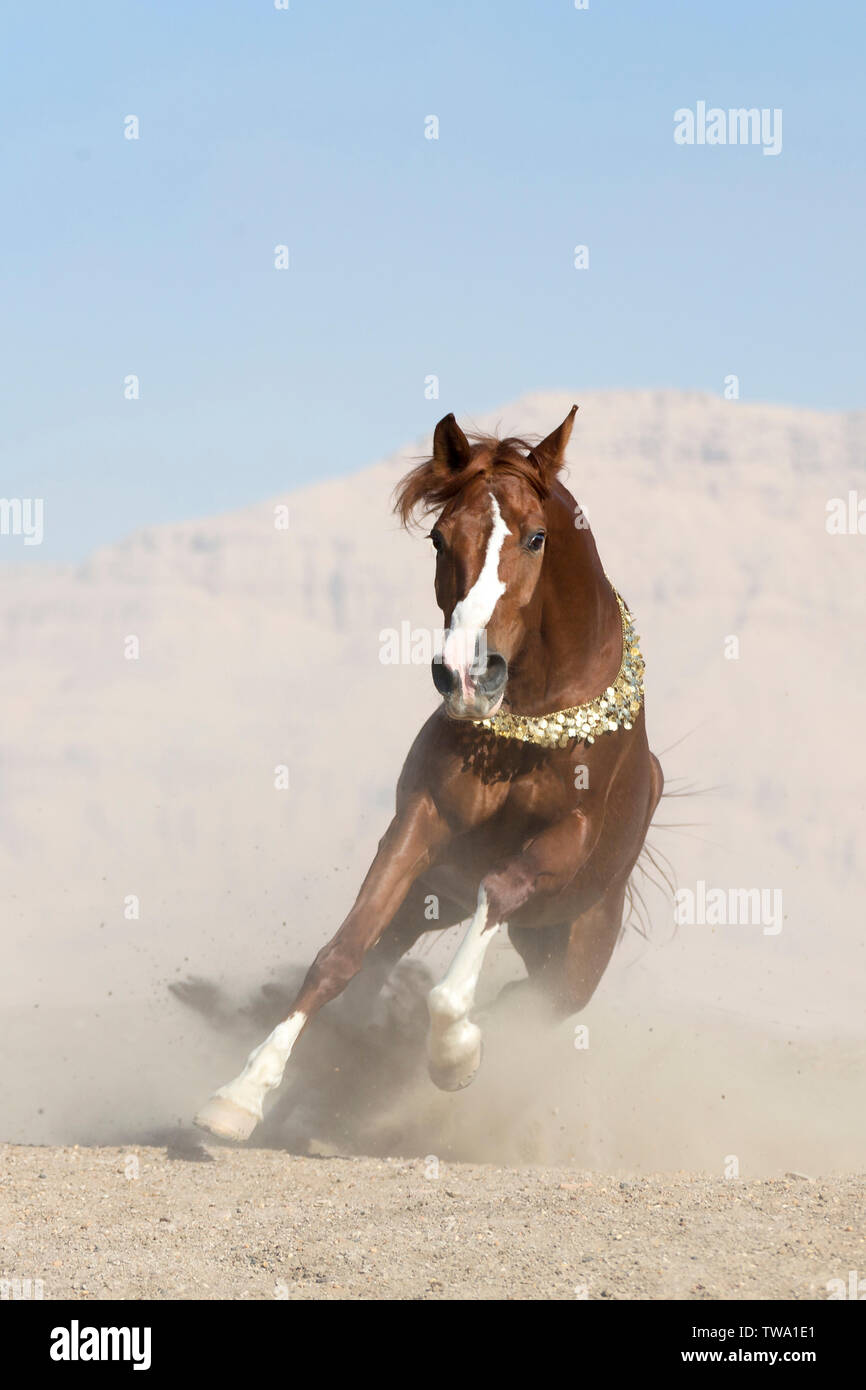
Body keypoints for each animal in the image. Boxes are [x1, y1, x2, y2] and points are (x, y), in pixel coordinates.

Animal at [194, 406, 664, 1142]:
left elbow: (496, 896)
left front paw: (452, 1053)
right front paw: (240, 1095)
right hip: (430, 901)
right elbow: (341, 954)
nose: (467, 674)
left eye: (536, 537)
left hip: (575, 952)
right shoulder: (420, 822)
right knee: (380, 969)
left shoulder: (566, 840)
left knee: (528, 1000)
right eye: (440, 538)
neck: (532, 722)